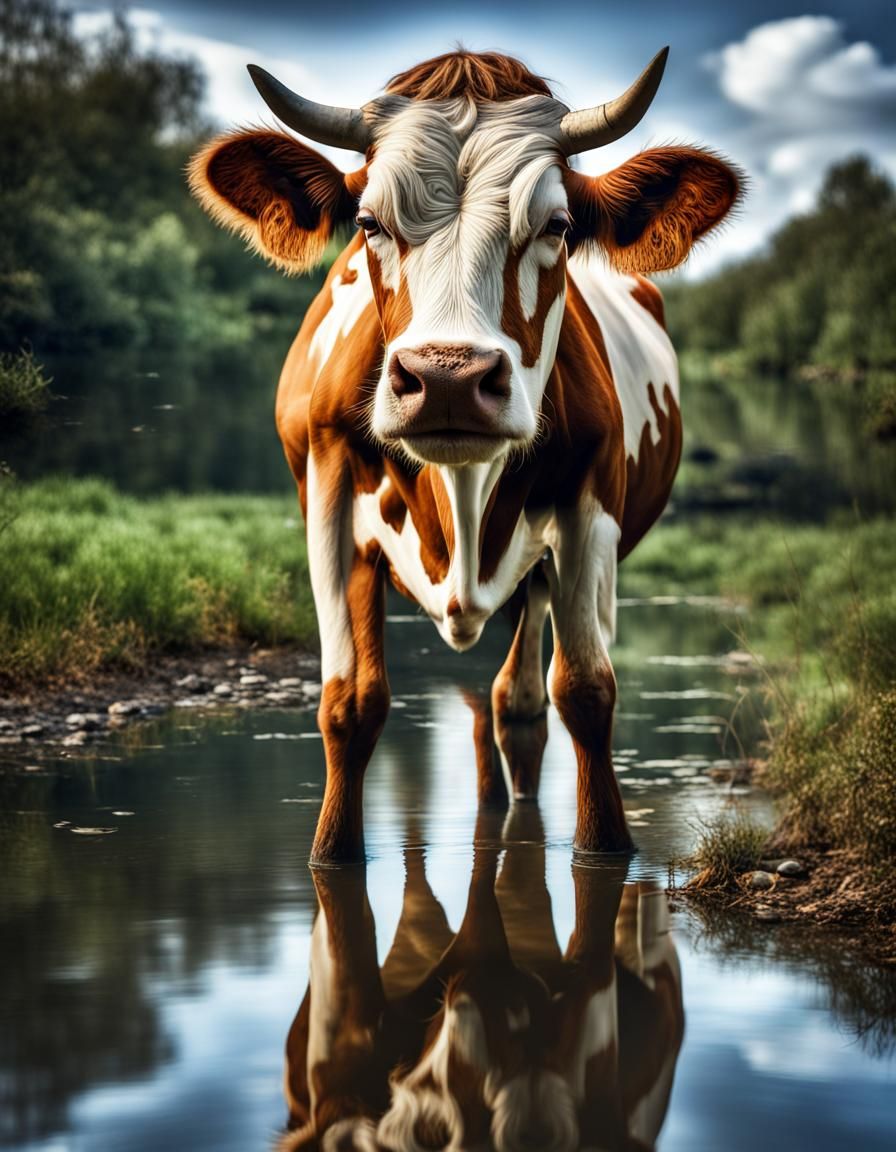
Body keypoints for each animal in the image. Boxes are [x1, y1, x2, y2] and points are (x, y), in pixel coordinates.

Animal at [189, 48, 741, 863]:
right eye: (367, 222)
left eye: (558, 224)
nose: (448, 377)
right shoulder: (327, 500)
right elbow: (350, 702)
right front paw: (331, 855)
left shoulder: (588, 512)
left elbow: (585, 691)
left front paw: (603, 850)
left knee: (517, 701)